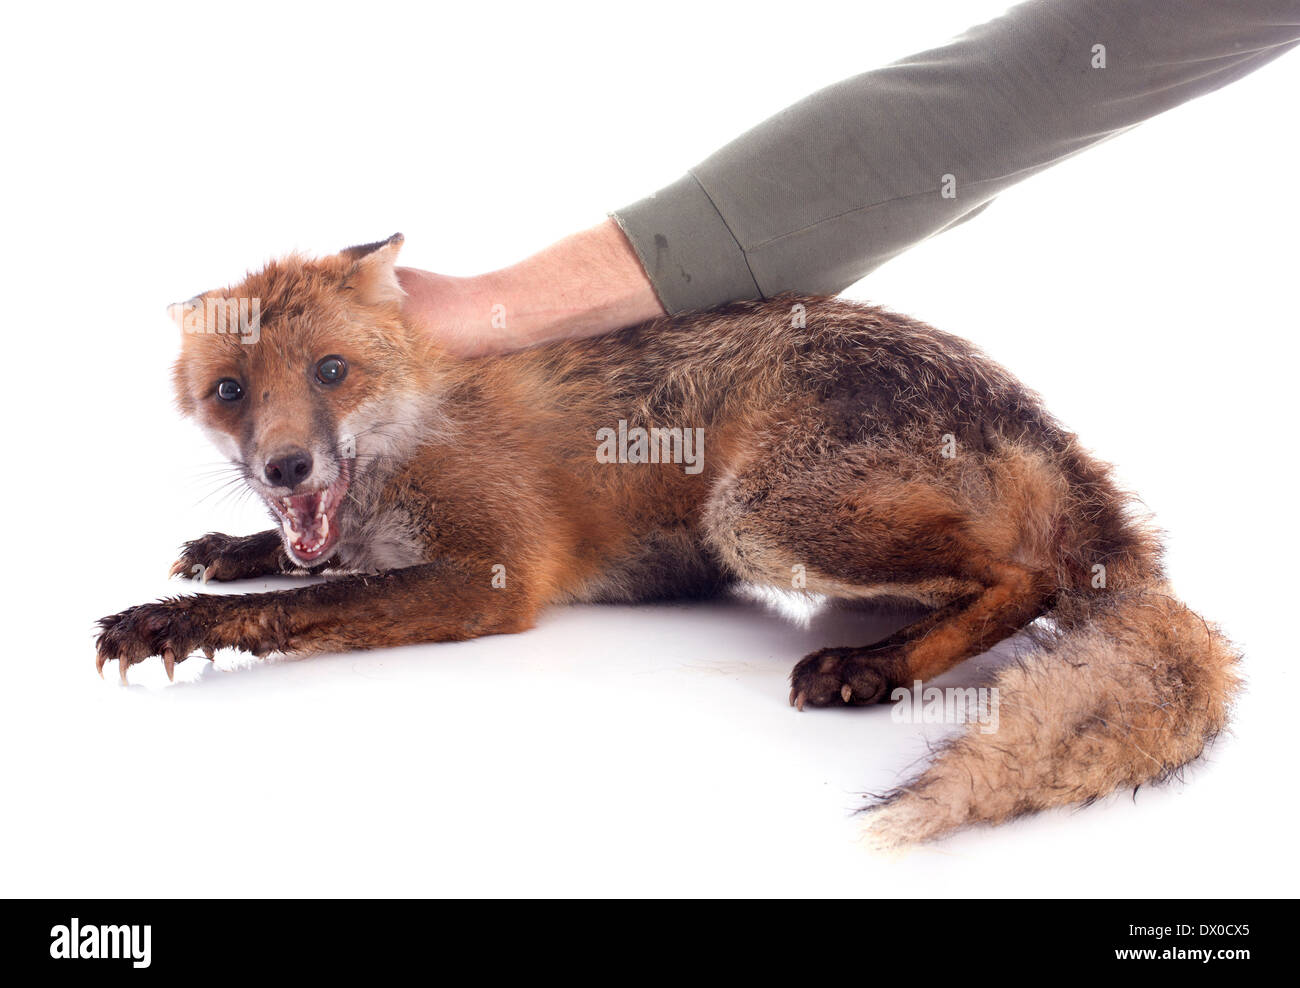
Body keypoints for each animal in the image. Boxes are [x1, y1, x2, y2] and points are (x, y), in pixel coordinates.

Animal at [96, 233, 1239, 847]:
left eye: (332, 372)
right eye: (232, 392)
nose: (287, 469)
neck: (414, 430)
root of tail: (1029, 414)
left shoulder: (488, 577)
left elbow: (306, 602)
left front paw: (174, 620)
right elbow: (303, 566)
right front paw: (230, 548)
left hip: (757, 517)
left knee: (1028, 578)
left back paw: (874, 669)